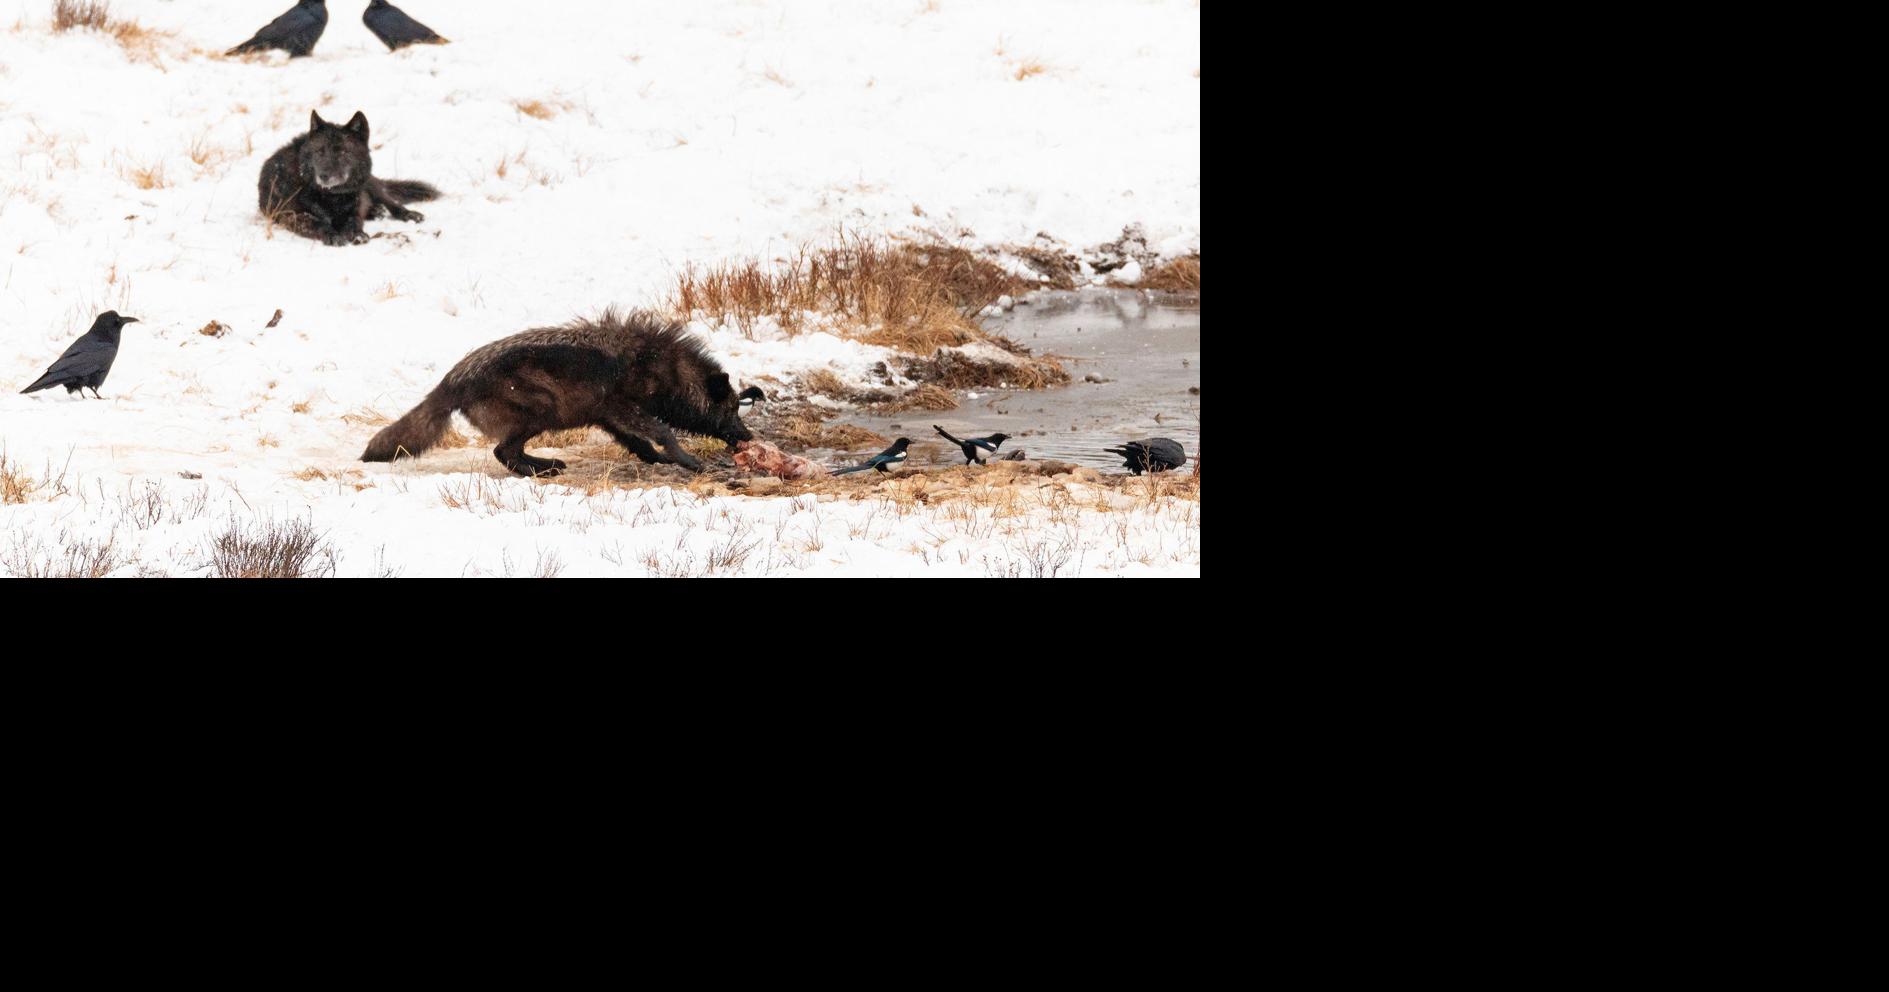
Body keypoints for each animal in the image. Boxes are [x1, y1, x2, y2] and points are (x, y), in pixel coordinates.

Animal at [257, 111, 439, 246]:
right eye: (320, 152)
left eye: (343, 152)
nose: (324, 176)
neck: (331, 197)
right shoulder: (292, 216)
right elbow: (318, 223)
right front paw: (333, 235)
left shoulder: (354, 210)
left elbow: (353, 220)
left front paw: (357, 234)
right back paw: (376, 211)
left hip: (370, 184)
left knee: (390, 202)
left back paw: (408, 214)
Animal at [361, 309, 767, 477]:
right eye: (732, 409)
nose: (747, 437)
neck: (667, 369)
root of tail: (450, 381)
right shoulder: (622, 408)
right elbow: (663, 432)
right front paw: (688, 461)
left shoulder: (609, 418)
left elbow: (640, 444)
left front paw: (660, 460)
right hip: (540, 412)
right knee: (503, 451)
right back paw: (540, 472)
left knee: (508, 451)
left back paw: (546, 466)